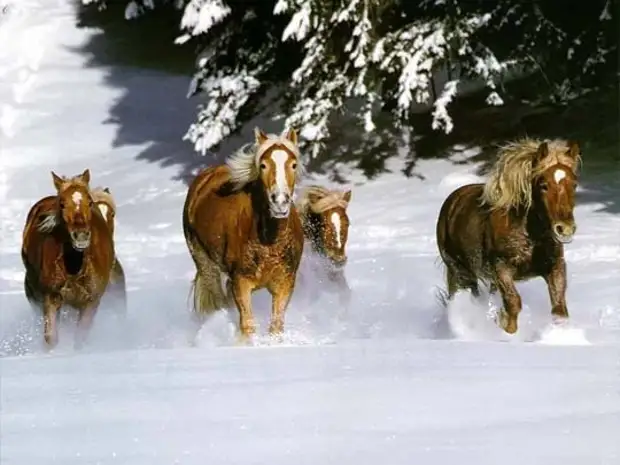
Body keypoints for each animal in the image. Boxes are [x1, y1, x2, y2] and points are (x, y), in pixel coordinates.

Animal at [21, 168, 116, 348]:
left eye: (89, 202)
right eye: (62, 204)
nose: (81, 236)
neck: (74, 269)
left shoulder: (91, 302)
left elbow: (80, 338)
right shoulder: (51, 298)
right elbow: (51, 338)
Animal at [182, 127, 306, 344]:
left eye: (293, 164)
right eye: (263, 165)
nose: (280, 202)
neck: (269, 243)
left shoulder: (285, 283)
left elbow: (276, 326)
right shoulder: (241, 282)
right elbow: (248, 325)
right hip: (206, 265)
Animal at [436, 138, 580, 334]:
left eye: (574, 184)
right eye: (543, 186)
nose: (565, 229)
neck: (531, 236)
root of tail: (452, 201)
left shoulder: (555, 267)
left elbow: (559, 309)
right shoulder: (501, 268)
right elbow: (513, 303)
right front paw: (506, 329)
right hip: (459, 270)